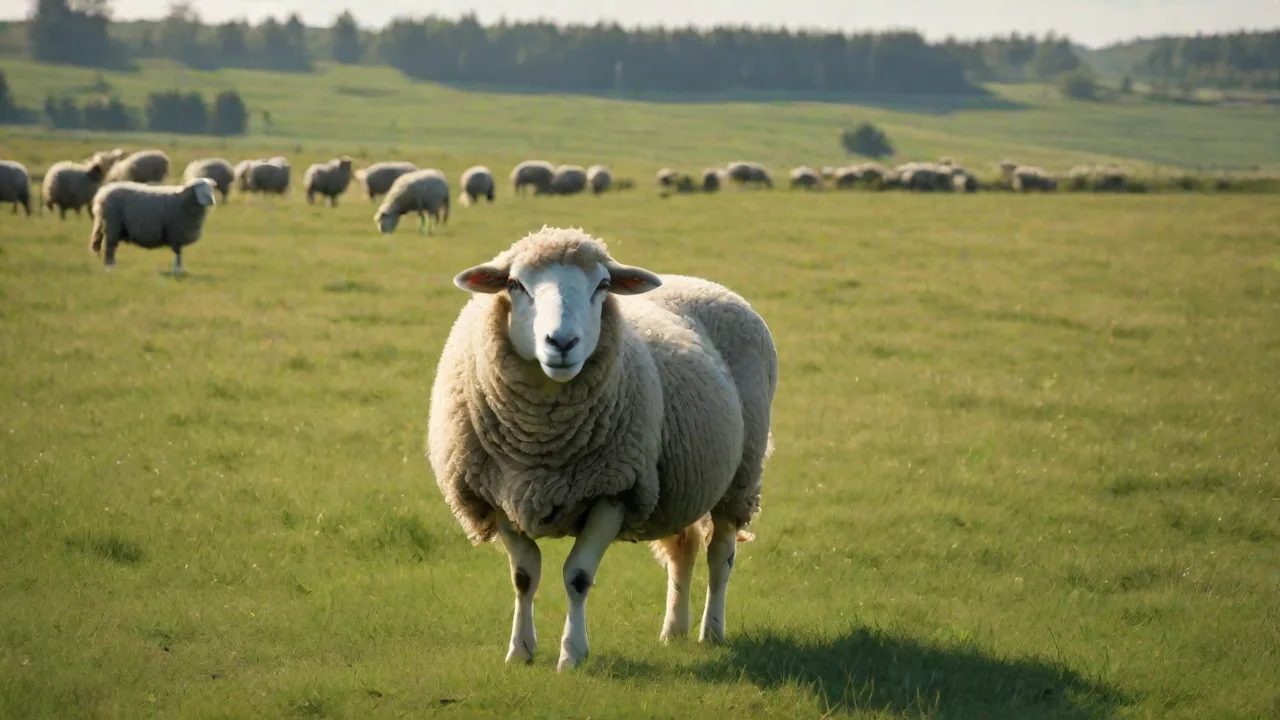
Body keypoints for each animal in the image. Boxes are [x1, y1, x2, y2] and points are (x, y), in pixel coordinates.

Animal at [89, 178, 217, 273]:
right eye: (199, 188)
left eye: (211, 188)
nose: (211, 200)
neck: (183, 201)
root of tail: (102, 193)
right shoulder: (175, 233)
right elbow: (177, 253)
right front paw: (177, 270)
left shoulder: (178, 234)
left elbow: (179, 253)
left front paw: (179, 269)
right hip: (112, 225)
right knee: (110, 248)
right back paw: (110, 268)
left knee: (112, 247)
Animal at [428, 226, 778, 671]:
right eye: (515, 284)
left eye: (603, 286)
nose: (562, 342)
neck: (543, 448)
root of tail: (697, 281)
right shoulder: (498, 494)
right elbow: (524, 576)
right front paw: (519, 651)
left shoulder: (614, 490)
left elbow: (577, 577)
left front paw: (571, 655)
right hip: (677, 482)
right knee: (684, 549)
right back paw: (673, 631)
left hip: (741, 475)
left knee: (721, 554)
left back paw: (711, 631)